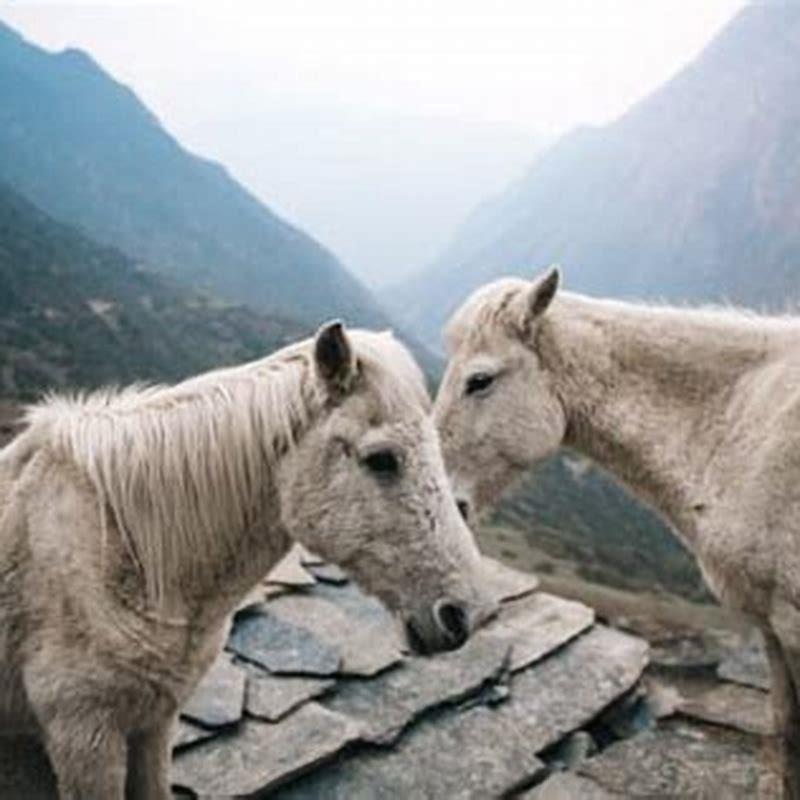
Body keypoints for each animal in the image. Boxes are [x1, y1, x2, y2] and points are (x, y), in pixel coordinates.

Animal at [434, 268, 800, 797]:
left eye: (479, 381)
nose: (440, 502)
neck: (741, 425)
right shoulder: (772, 624)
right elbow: (787, 731)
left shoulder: (791, 621)